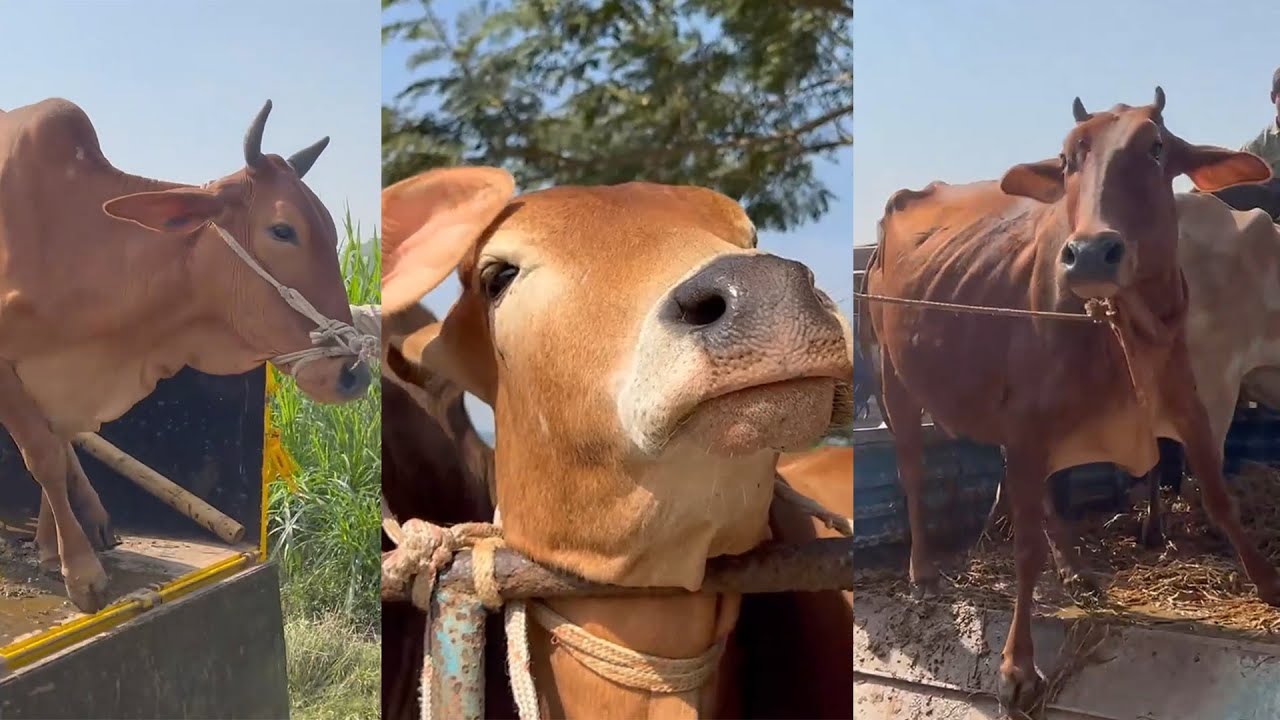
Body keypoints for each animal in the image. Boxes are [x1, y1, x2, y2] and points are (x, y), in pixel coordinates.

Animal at [0, 98, 370, 612]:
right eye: (283, 230)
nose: (353, 374)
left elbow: (59, 443)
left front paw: (55, 550)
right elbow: (43, 455)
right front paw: (81, 572)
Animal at [860, 87, 1280, 711]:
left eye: (1157, 148)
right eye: (1065, 160)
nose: (1089, 253)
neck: (1122, 327)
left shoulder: (1189, 401)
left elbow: (1219, 493)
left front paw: (1269, 583)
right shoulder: (1030, 428)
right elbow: (1025, 549)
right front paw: (1017, 666)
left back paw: (1073, 568)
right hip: (896, 379)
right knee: (914, 469)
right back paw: (924, 571)